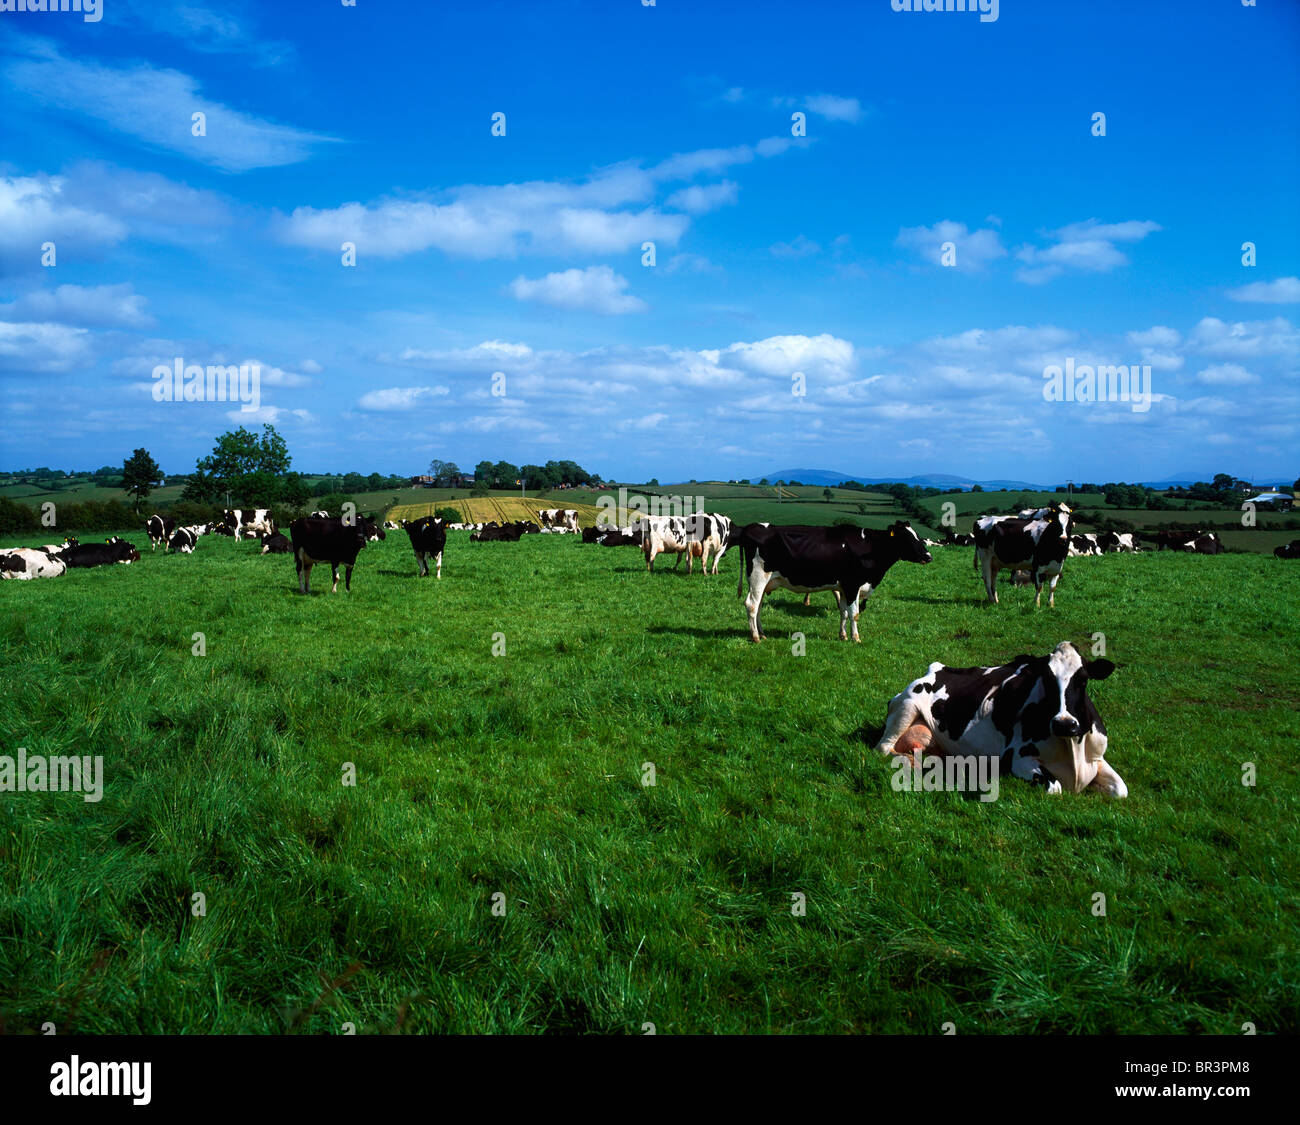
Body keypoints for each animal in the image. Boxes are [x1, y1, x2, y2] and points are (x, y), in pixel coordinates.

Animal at [736, 521, 932, 643]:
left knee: (758, 606)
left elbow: (843, 612)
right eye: (907, 538)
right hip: (758, 577)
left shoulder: (844, 588)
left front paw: (843, 635)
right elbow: (854, 614)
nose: (928, 556)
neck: (869, 547)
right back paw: (755, 638)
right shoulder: (853, 585)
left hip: (763, 582)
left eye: (918, 536)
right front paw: (856, 638)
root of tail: (752, 526)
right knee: (751, 605)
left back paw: (762, 634)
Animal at [875, 641, 1126, 797]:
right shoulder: (1015, 757)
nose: (1064, 723)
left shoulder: (1098, 758)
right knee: (884, 749)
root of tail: (937, 668)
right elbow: (1054, 788)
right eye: (1045, 679)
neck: (1072, 749)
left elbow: (1121, 790)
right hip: (906, 706)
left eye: (1083, 679)